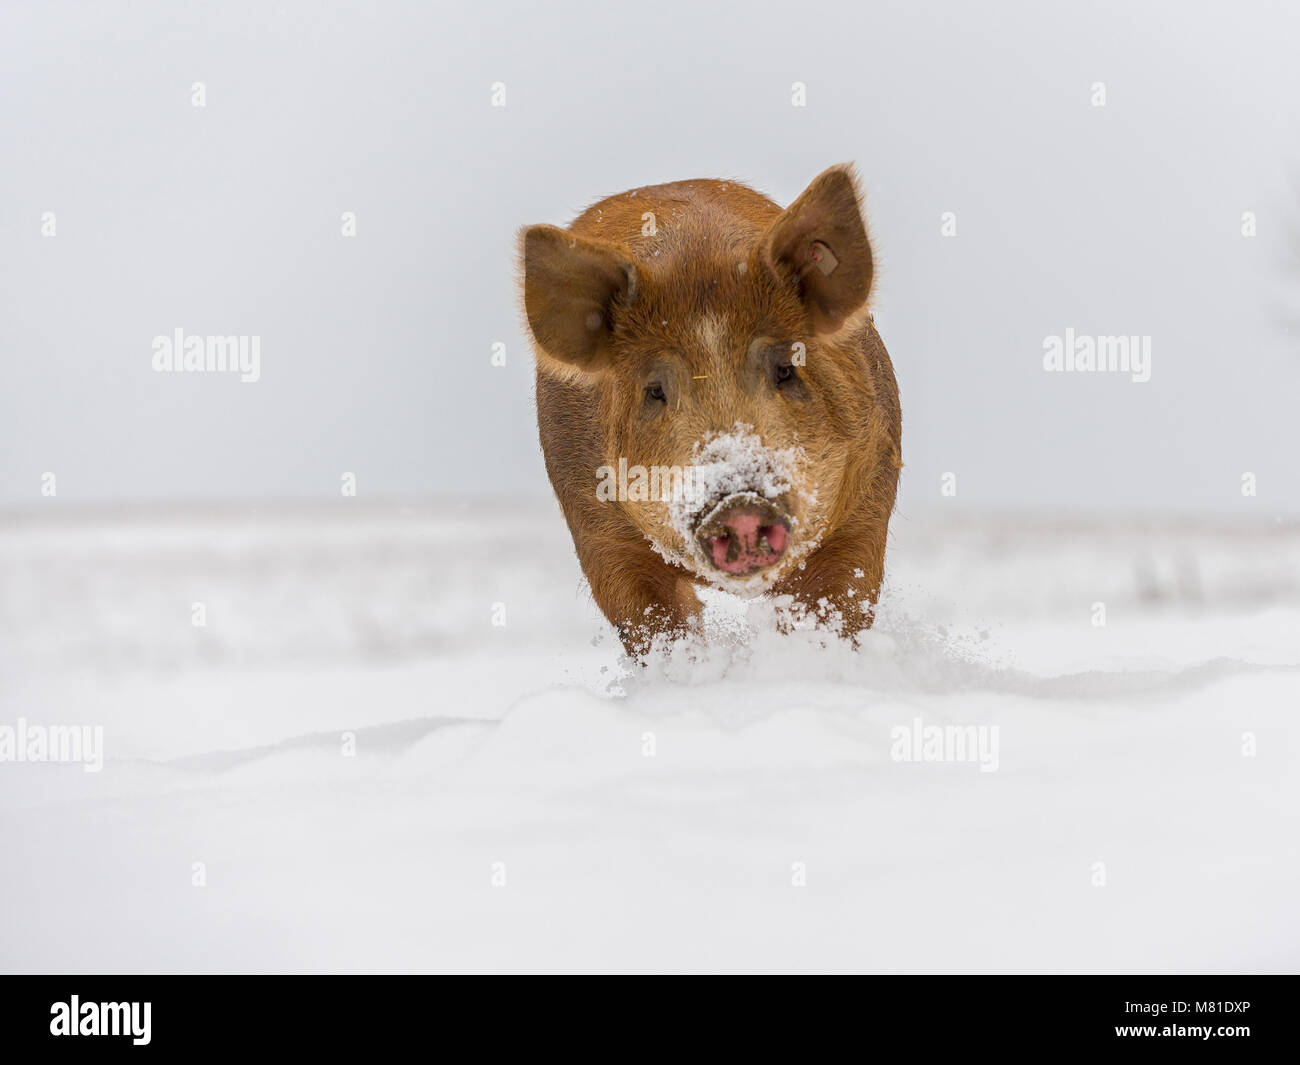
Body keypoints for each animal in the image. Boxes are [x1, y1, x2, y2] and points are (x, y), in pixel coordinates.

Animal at [520, 164, 902, 653]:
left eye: (785, 369)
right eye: (655, 390)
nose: (739, 505)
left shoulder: (866, 505)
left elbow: (834, 608)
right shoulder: (599, 529)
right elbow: (653, 623)